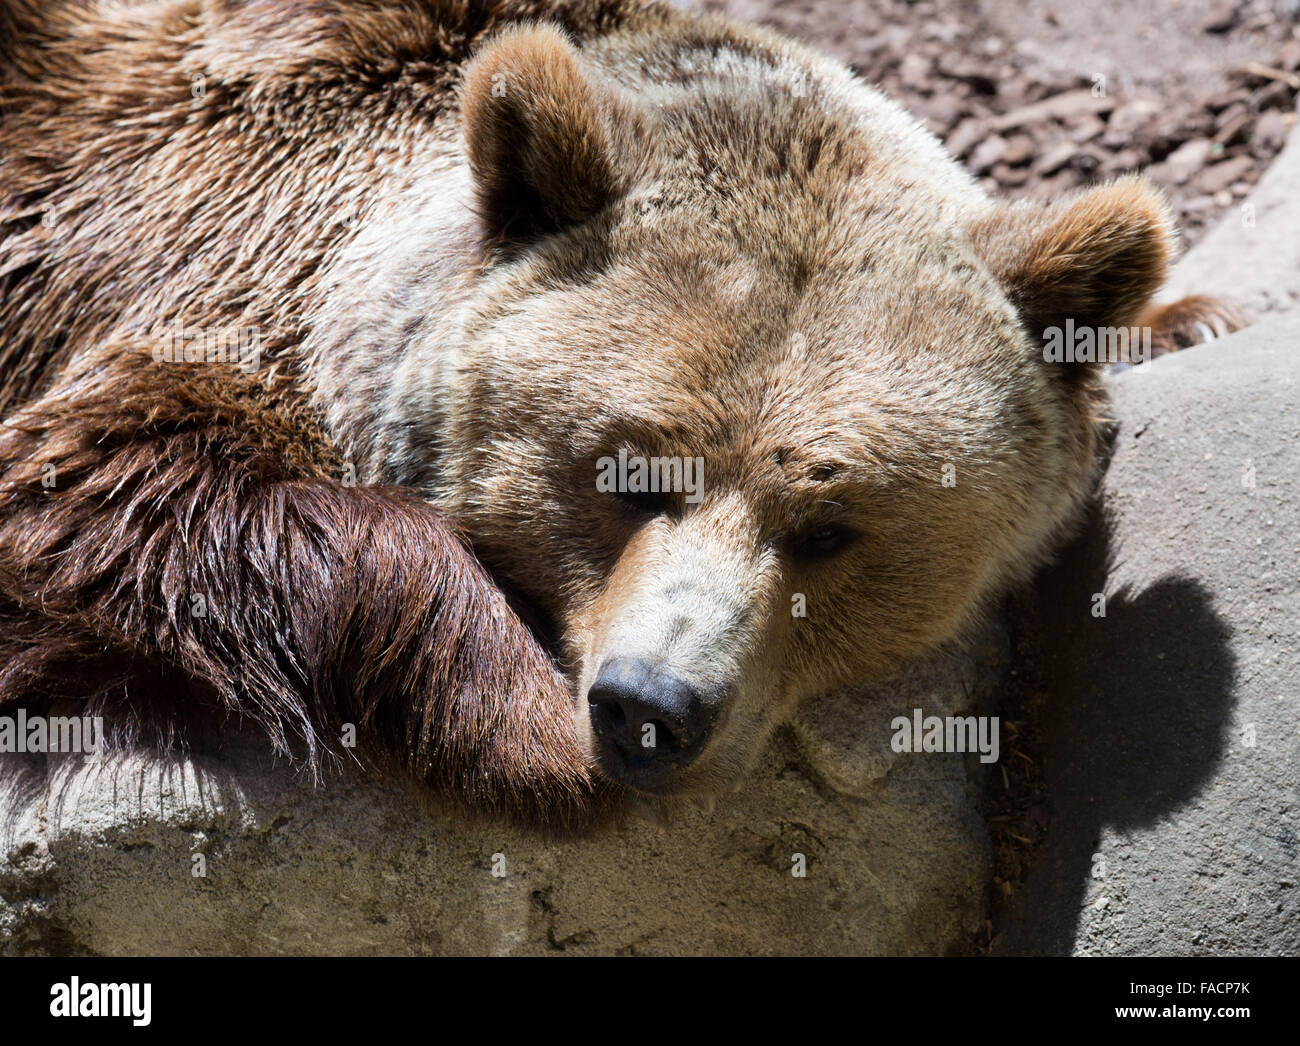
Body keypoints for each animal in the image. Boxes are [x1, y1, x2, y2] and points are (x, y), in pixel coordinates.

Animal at [0, 0, 1232, 821]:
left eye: (829, 529)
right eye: (632, 474)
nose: (651, 704)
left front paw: (1187, 318)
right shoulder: (209, 245)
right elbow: (104, 488)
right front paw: (532, 729)